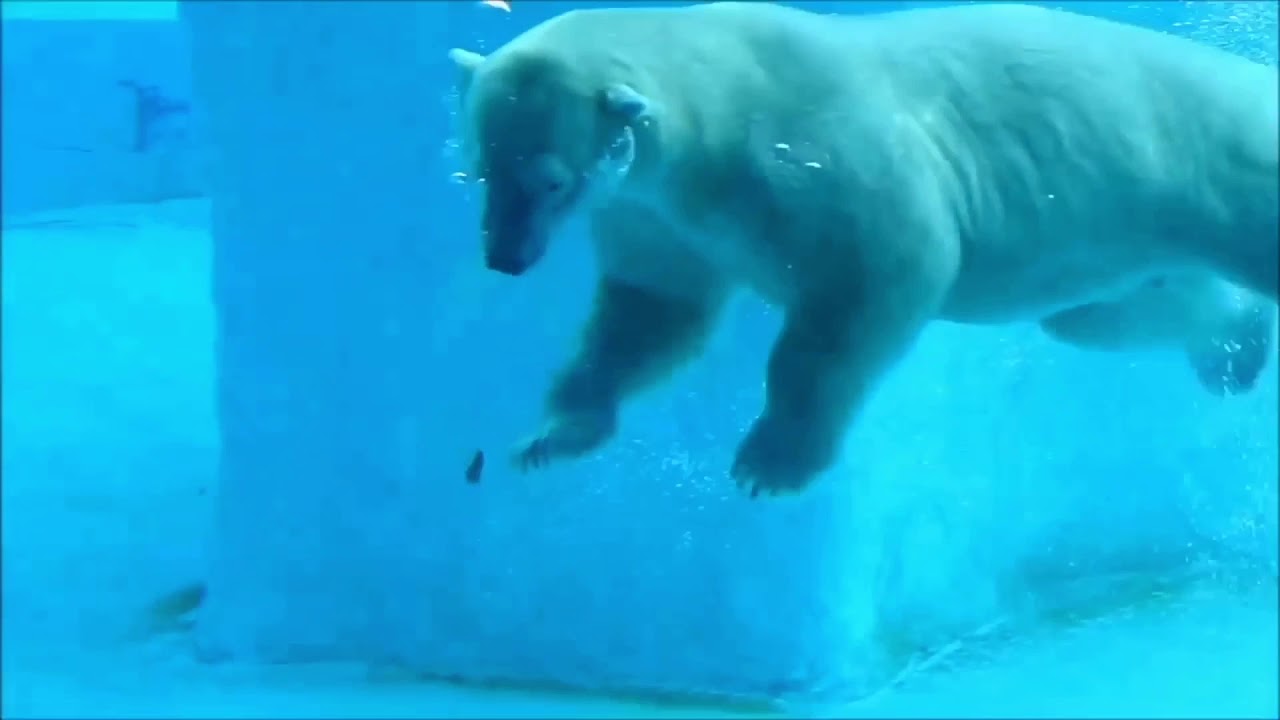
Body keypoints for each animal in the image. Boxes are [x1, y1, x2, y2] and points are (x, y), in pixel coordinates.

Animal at [448, 2, 1278, 497]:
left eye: (550, 181)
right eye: (482, 168)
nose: (506, 257)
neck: (717, 90)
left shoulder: (804, 157)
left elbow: (878, 279)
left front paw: (770, 463)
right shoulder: (656, 216)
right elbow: (650, 313)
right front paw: (549, 435)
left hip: (1223, 166)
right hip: (1116, 258)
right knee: (1110, 315)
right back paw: (1237, 352)